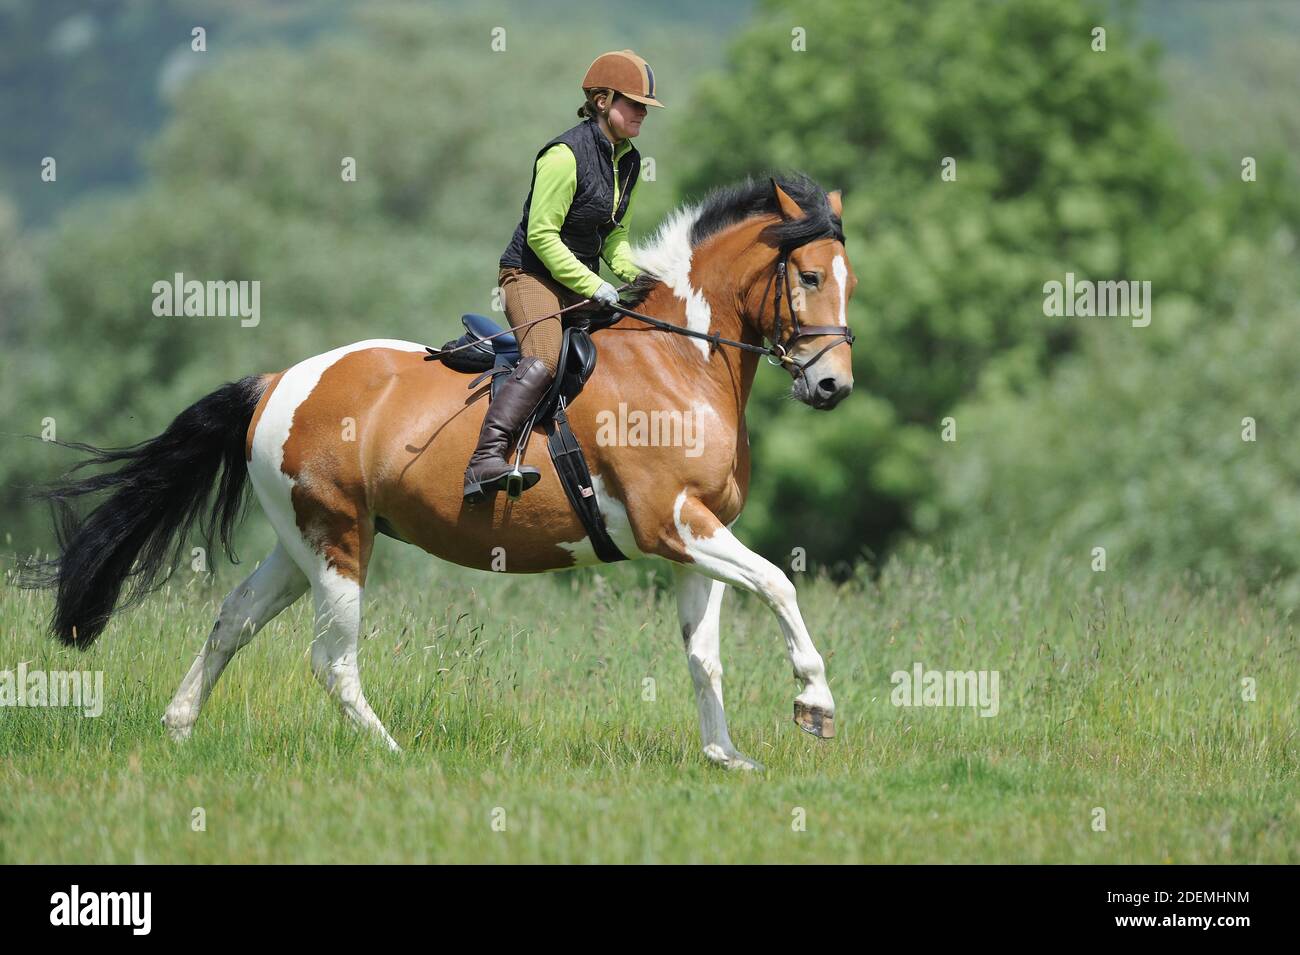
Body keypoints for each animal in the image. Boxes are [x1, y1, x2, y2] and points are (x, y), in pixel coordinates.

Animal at [25, 173, 857, 771]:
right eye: (812, 277)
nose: (832, 387)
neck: (680, 356)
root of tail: (276, 382)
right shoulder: (673, 523)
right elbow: (779, 584)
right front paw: (815, 700)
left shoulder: (695, 537)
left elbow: (704, 653)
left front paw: (725, 755)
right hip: (339, 540)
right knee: (332, 660)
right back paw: (391, 752)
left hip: (299, 541)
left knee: (234, 619)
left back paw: (178, 727)